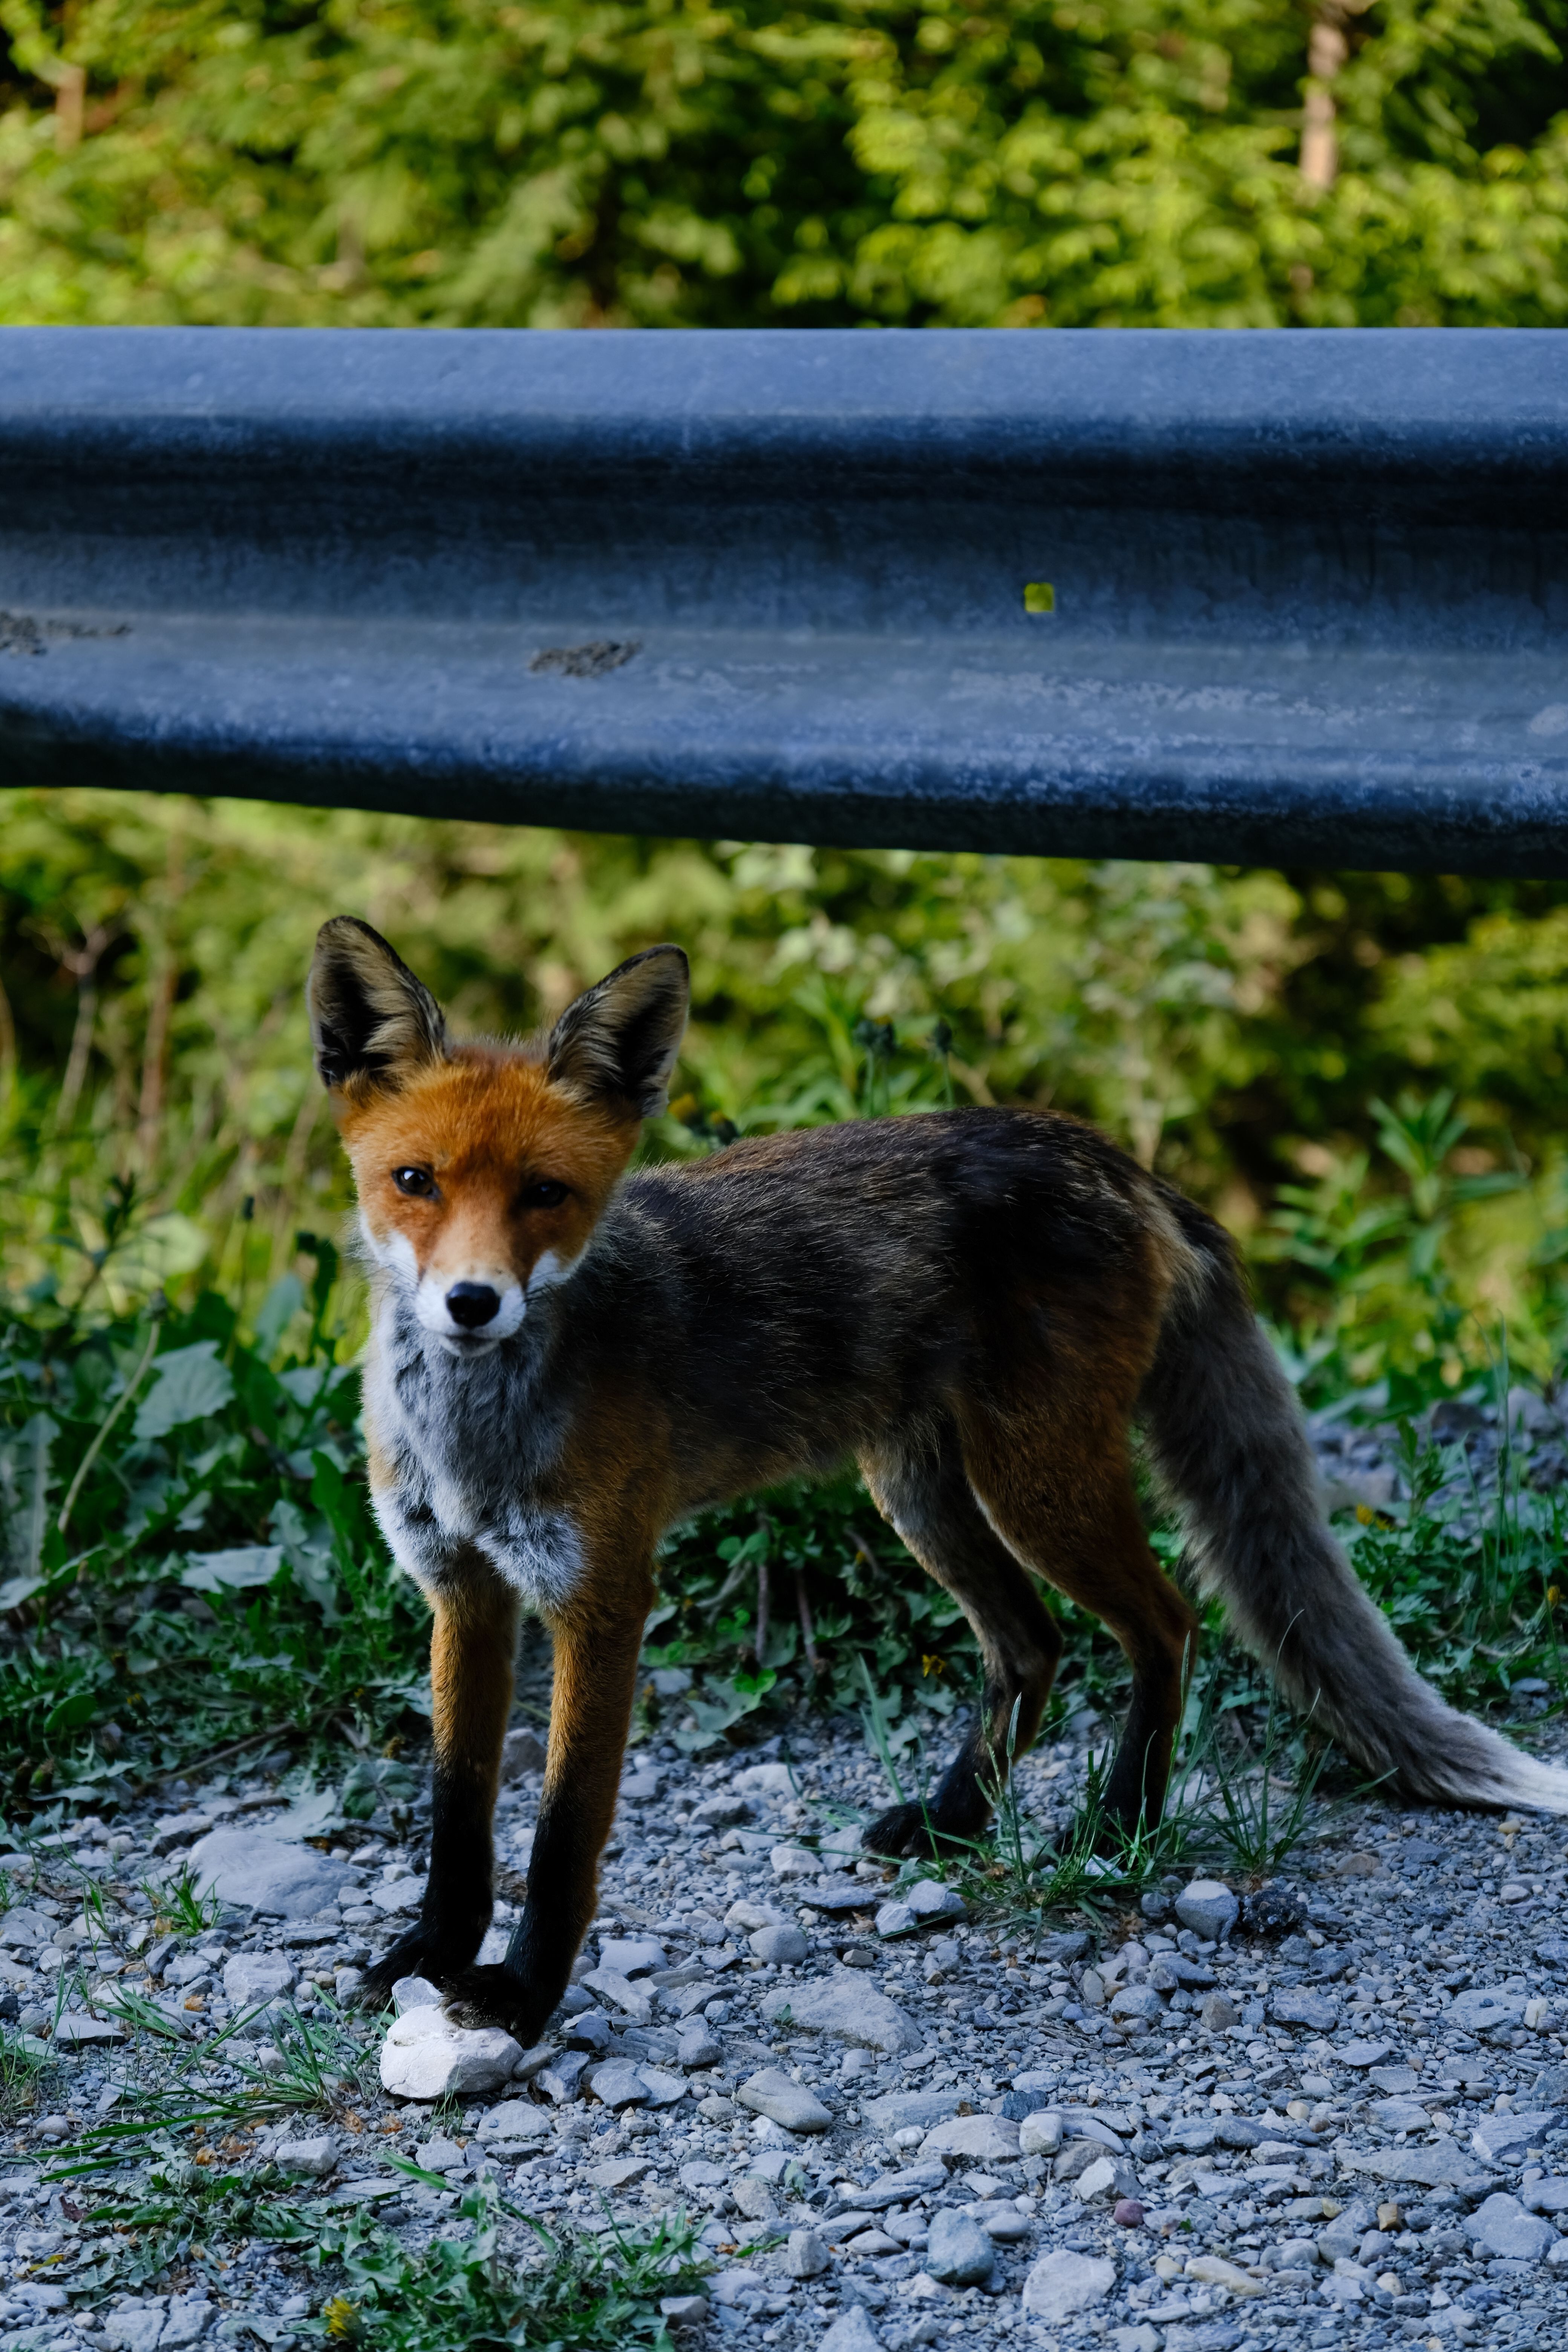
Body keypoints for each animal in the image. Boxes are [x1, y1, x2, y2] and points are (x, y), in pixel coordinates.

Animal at [307, 914, 1568, 2043]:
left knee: (1166, 1622)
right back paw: (957, 1825)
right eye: (415, 1180)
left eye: (546, 1194)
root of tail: (1117, 1159)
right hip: (923, 1494)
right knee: (1034, 1644)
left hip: (1035, 1481)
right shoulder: (462, 1590)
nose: (473, 1303)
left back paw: (1116, 1831)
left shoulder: (601, 1598)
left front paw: (521, 2002)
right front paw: (426, 1956)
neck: (474, 1440)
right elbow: (458, 1810)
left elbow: (564, 1830)